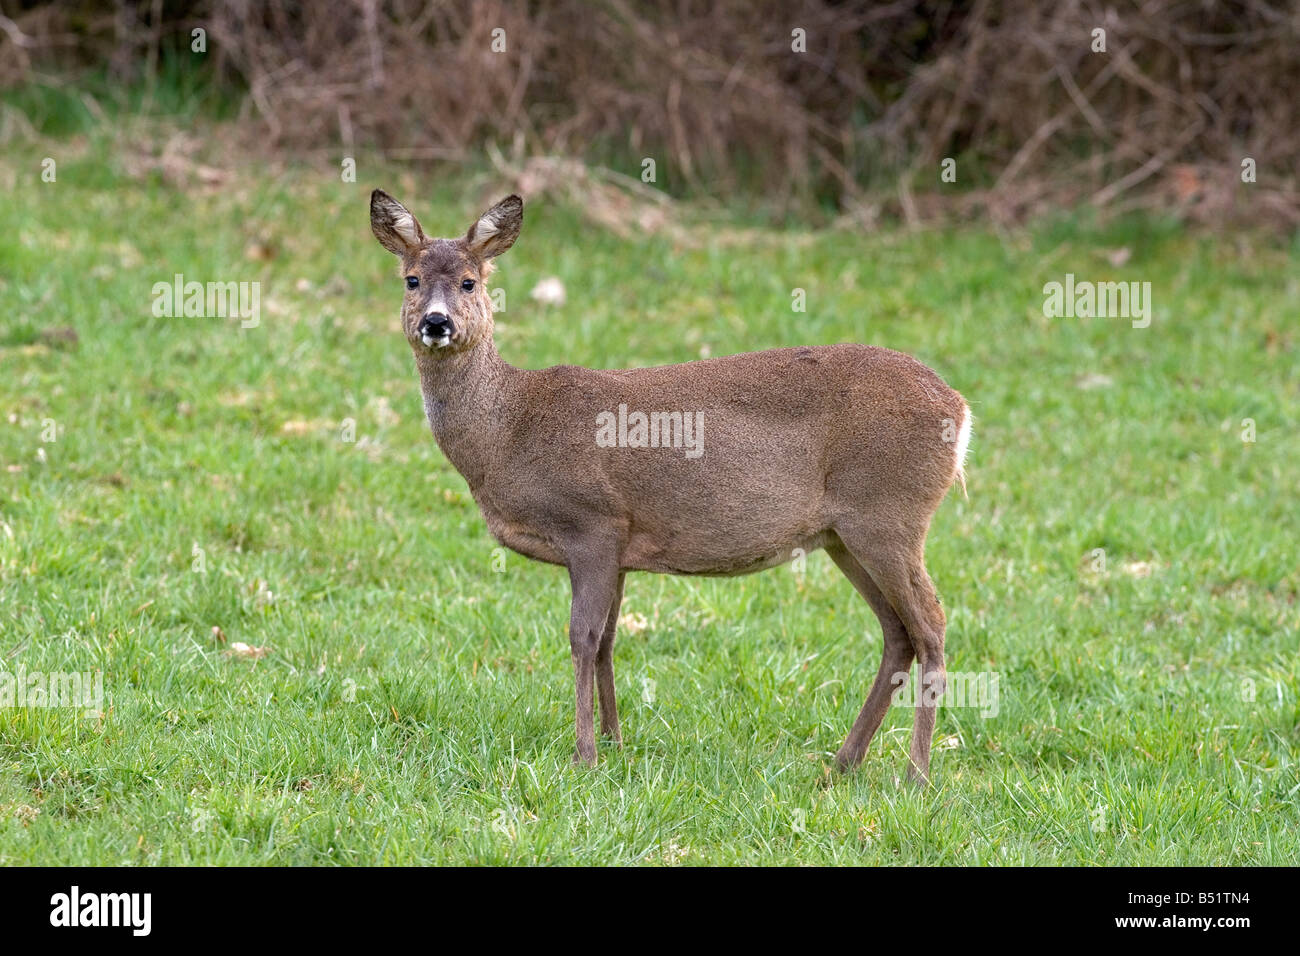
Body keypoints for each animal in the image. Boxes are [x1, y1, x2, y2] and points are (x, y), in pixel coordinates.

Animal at [369, 189, 971, 785]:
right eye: (412, 279)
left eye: (470, 281)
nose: (437, 323)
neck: (509, 431)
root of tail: (960, 410)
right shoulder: (620, 546)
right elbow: (609, 640)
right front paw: (615, 743)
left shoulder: (592, 522)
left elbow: (581, 638)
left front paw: (584, 754)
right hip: (843, 534)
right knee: (898, 631)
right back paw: (844, 762)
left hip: (888, 514)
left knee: (931, 624)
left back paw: (917, 774)